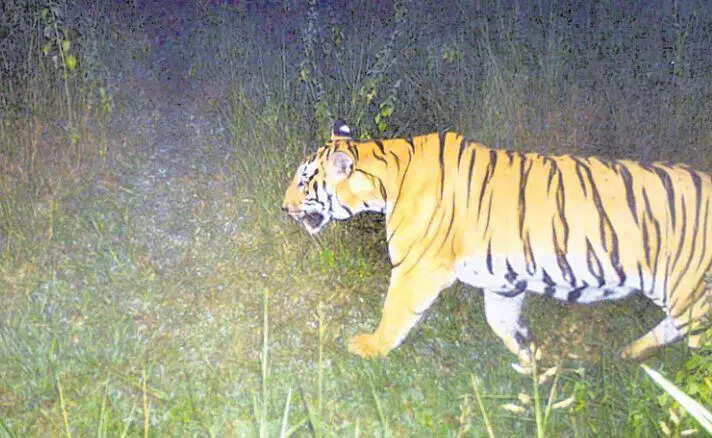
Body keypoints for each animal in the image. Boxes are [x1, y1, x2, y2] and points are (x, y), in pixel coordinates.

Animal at [282, 120, 711, 370]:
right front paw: (533, 360)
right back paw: (631, 353)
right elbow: (502, 323)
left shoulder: (416, 268)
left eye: (304, 181)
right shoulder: (504, 280)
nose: (284, 207)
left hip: (692, 292)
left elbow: (395, 312)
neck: (388, 172)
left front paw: (371, 346)